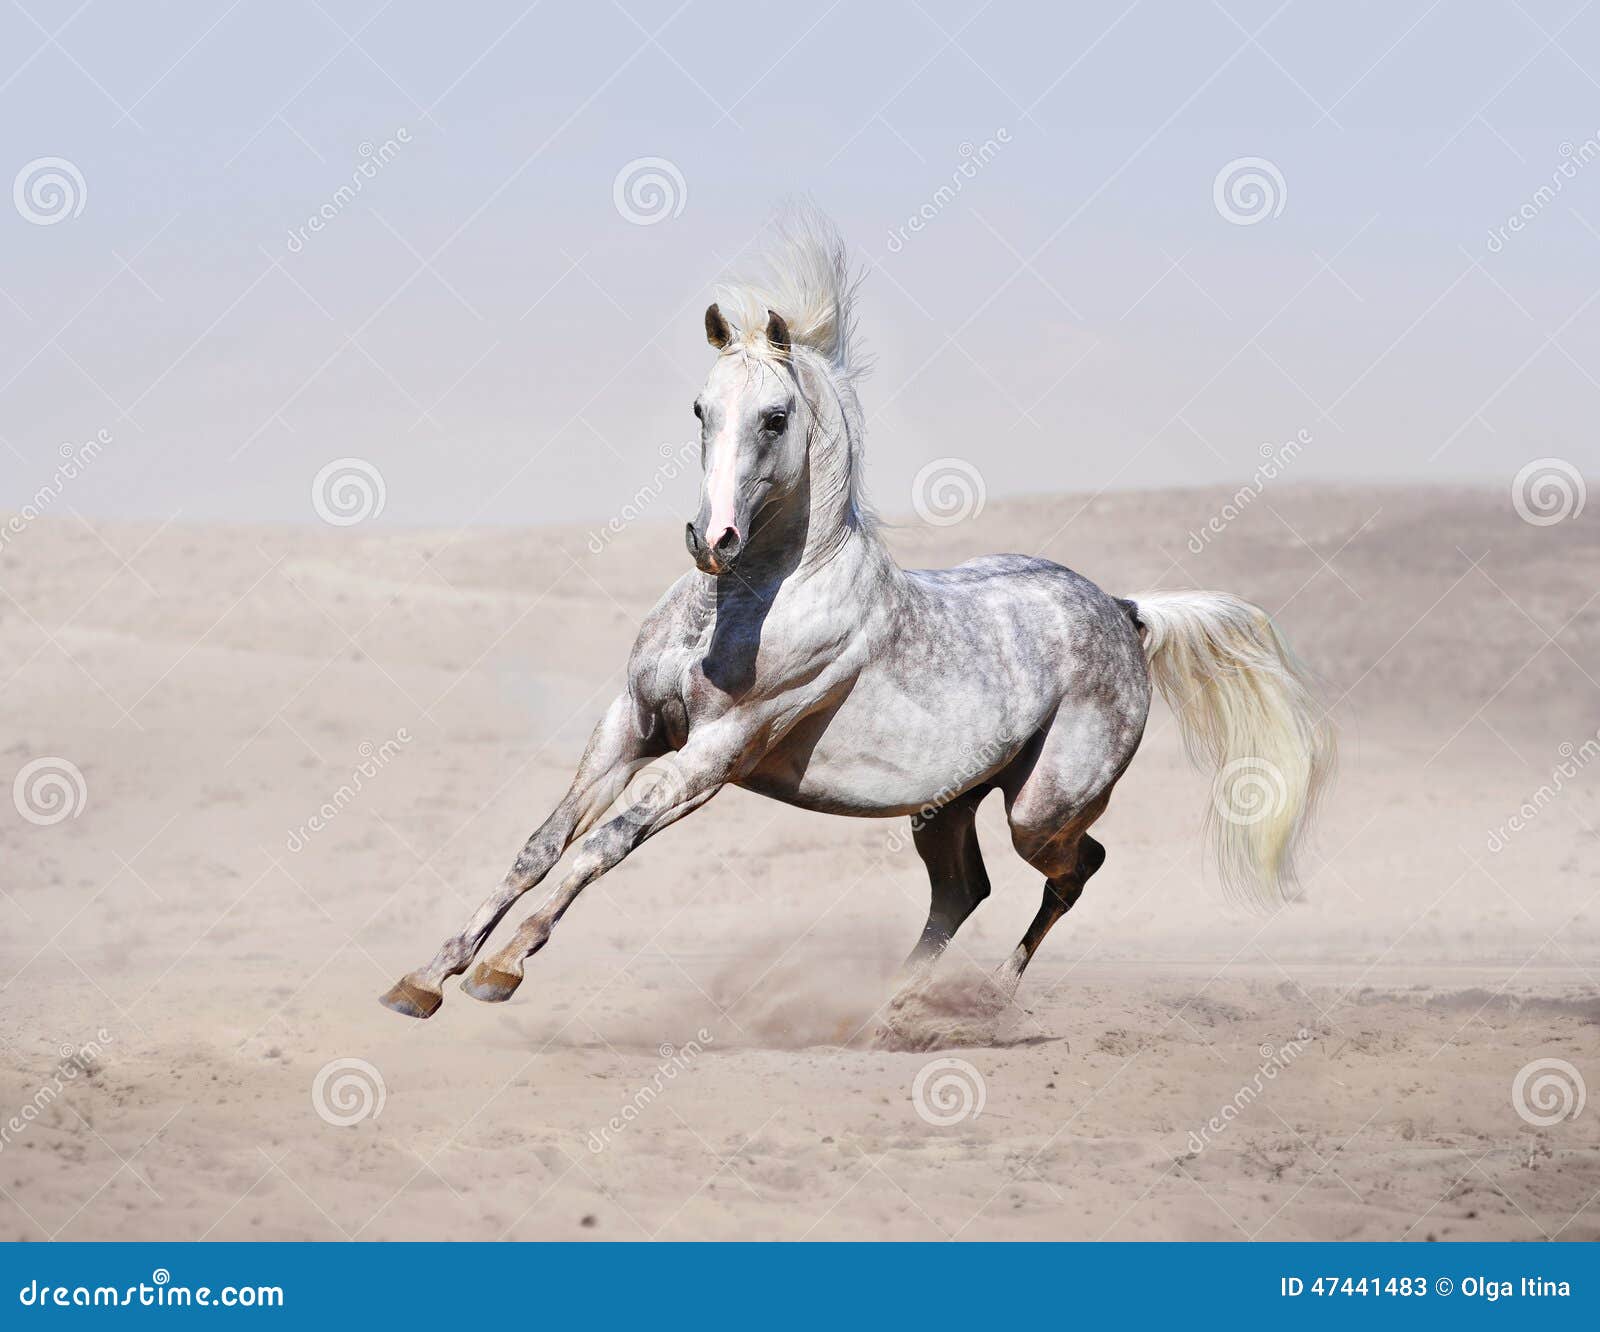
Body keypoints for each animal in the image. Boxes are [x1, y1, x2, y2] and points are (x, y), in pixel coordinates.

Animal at [380, 210, 1334, 1024]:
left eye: (775, 417)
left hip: (1042, 805)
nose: (711, 539)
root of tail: (1124, 610)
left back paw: (986, 997)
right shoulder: (633, 723)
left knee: (1074, 869)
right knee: (964, 891)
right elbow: (542, 844)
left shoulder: (714, 753)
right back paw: (890, 1009)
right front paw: (424, 979)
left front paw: (503, 971)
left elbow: (603, 842)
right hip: (945, 806)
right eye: (700, 409)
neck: (744, 605)